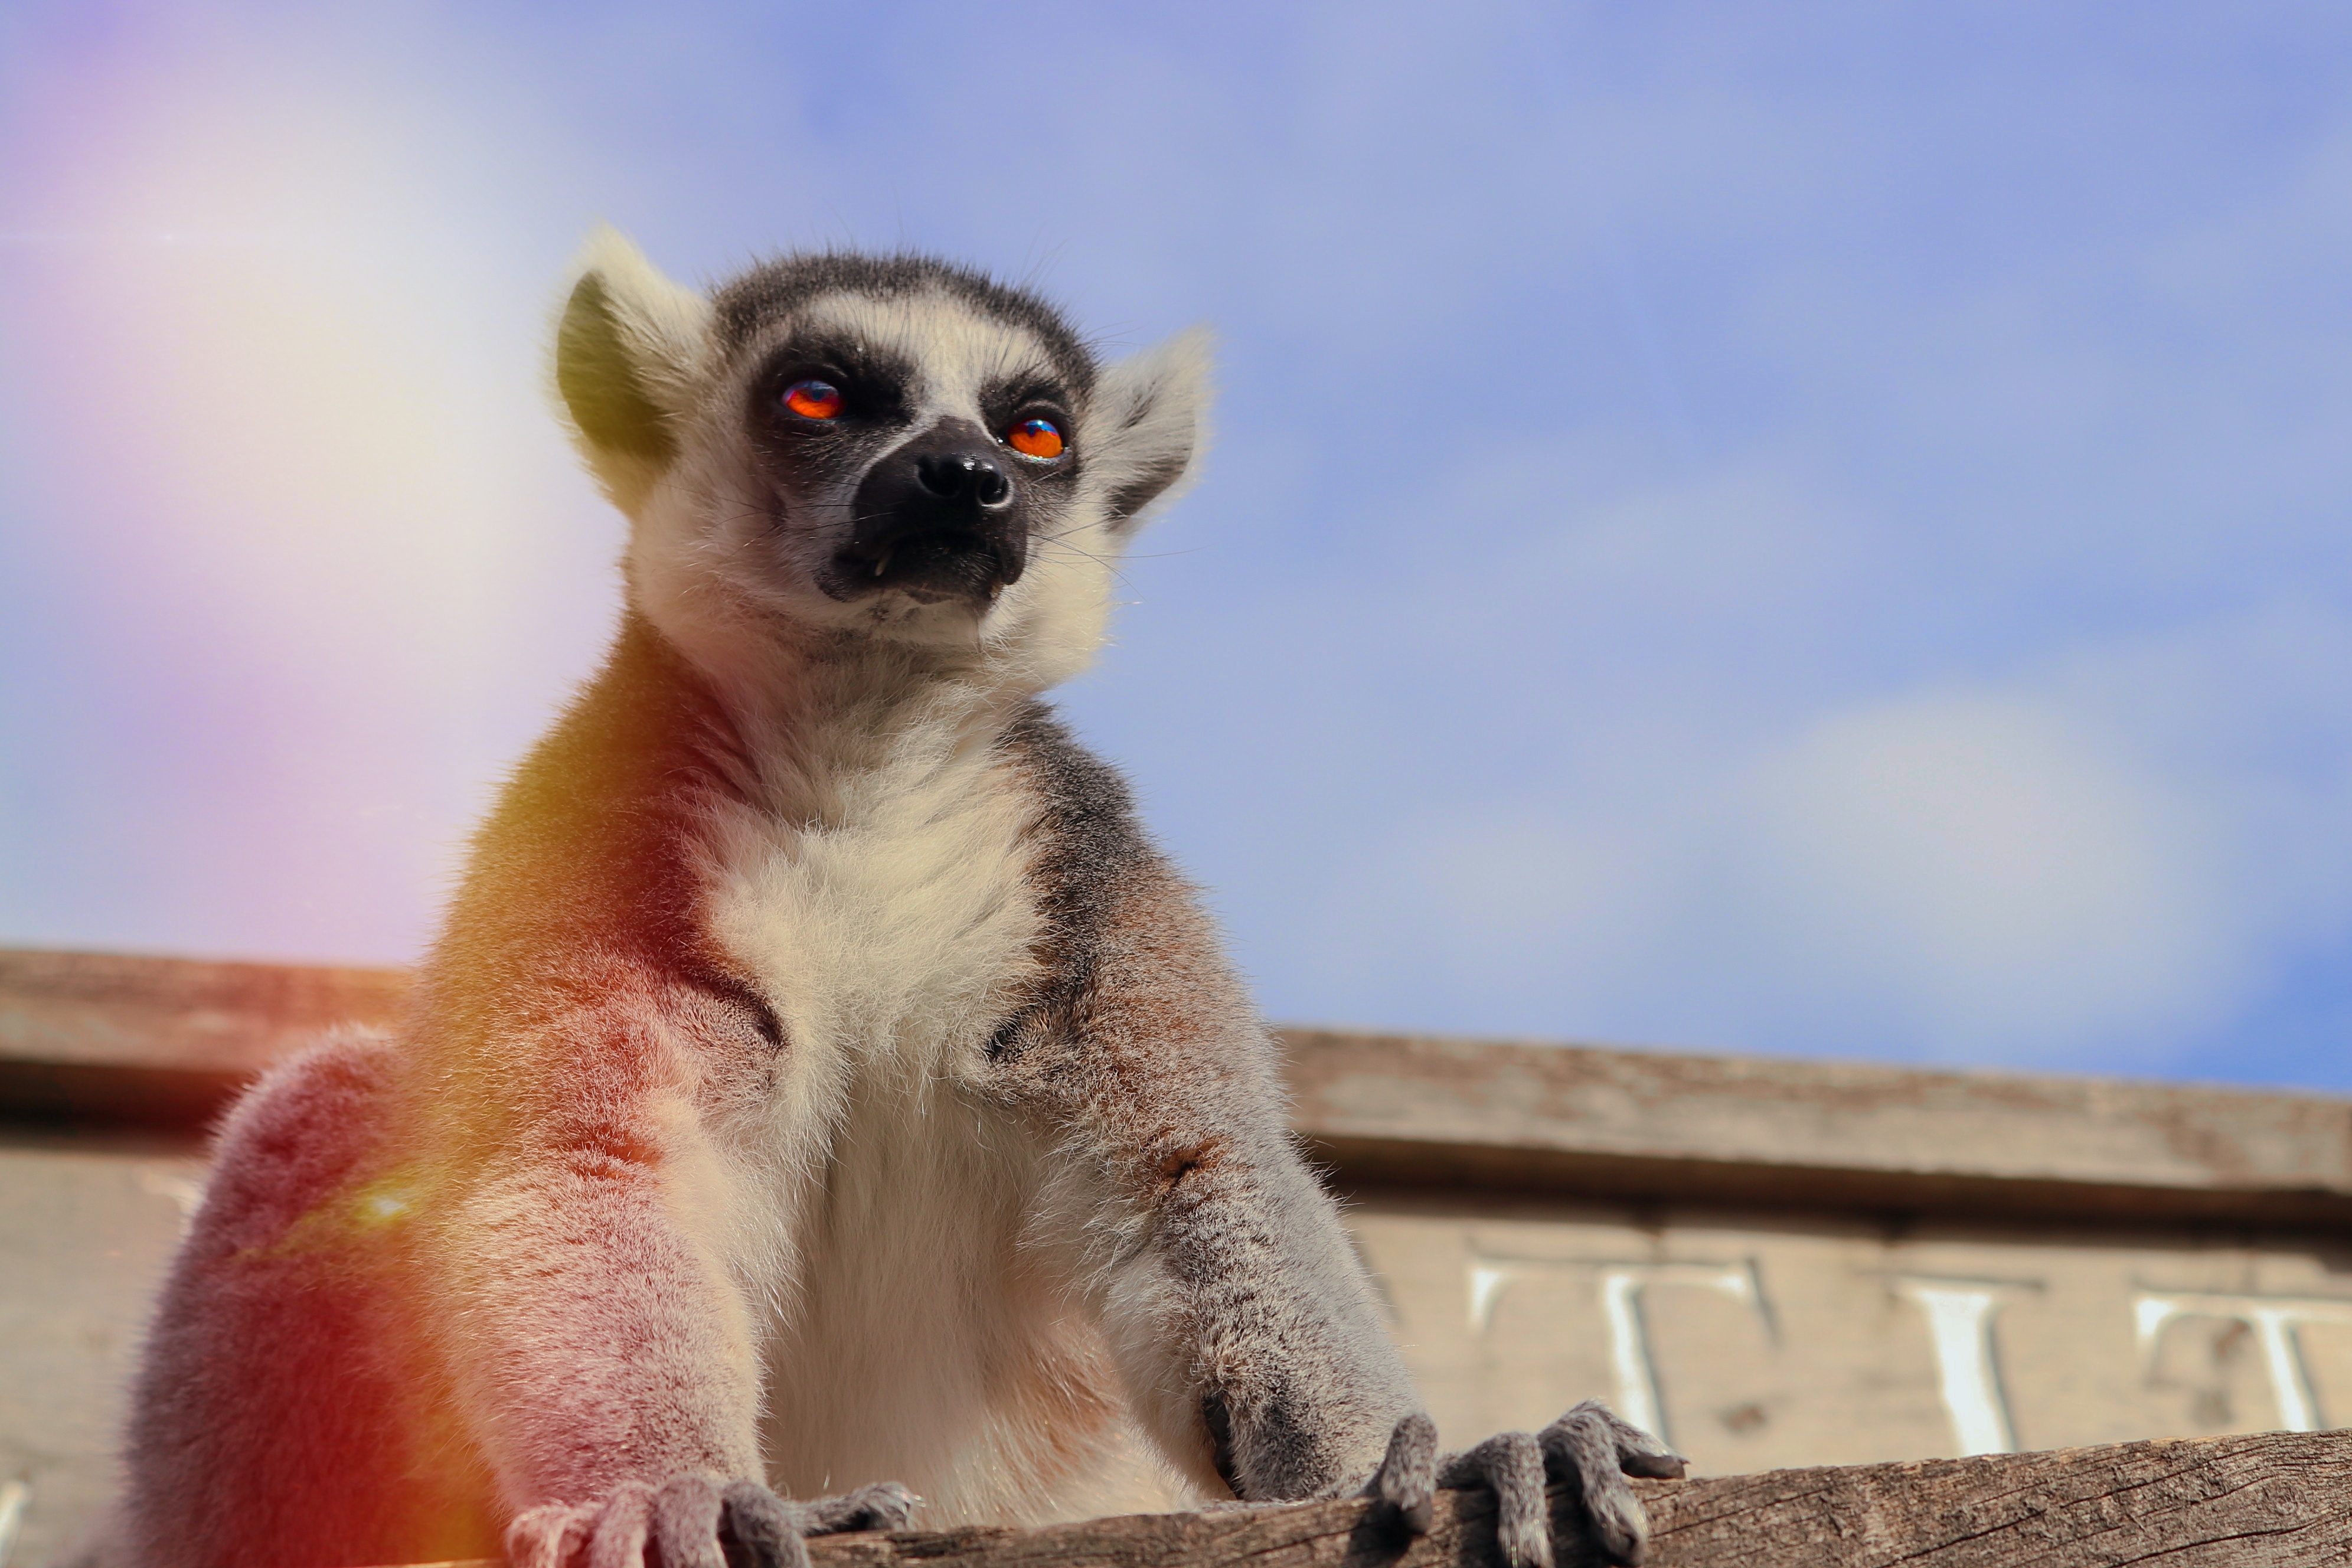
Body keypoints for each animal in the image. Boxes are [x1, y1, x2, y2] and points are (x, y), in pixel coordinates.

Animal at [105, 230, 1685, 1568]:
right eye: (821, 395)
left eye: (1032, 428)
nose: (962, 480)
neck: (866, 748)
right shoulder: (591, 842)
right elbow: (578, 1160)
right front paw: (670, 1487)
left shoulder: (1085, 880)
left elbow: (1193, 1172)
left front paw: (1432, 1464)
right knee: (331, 1111)